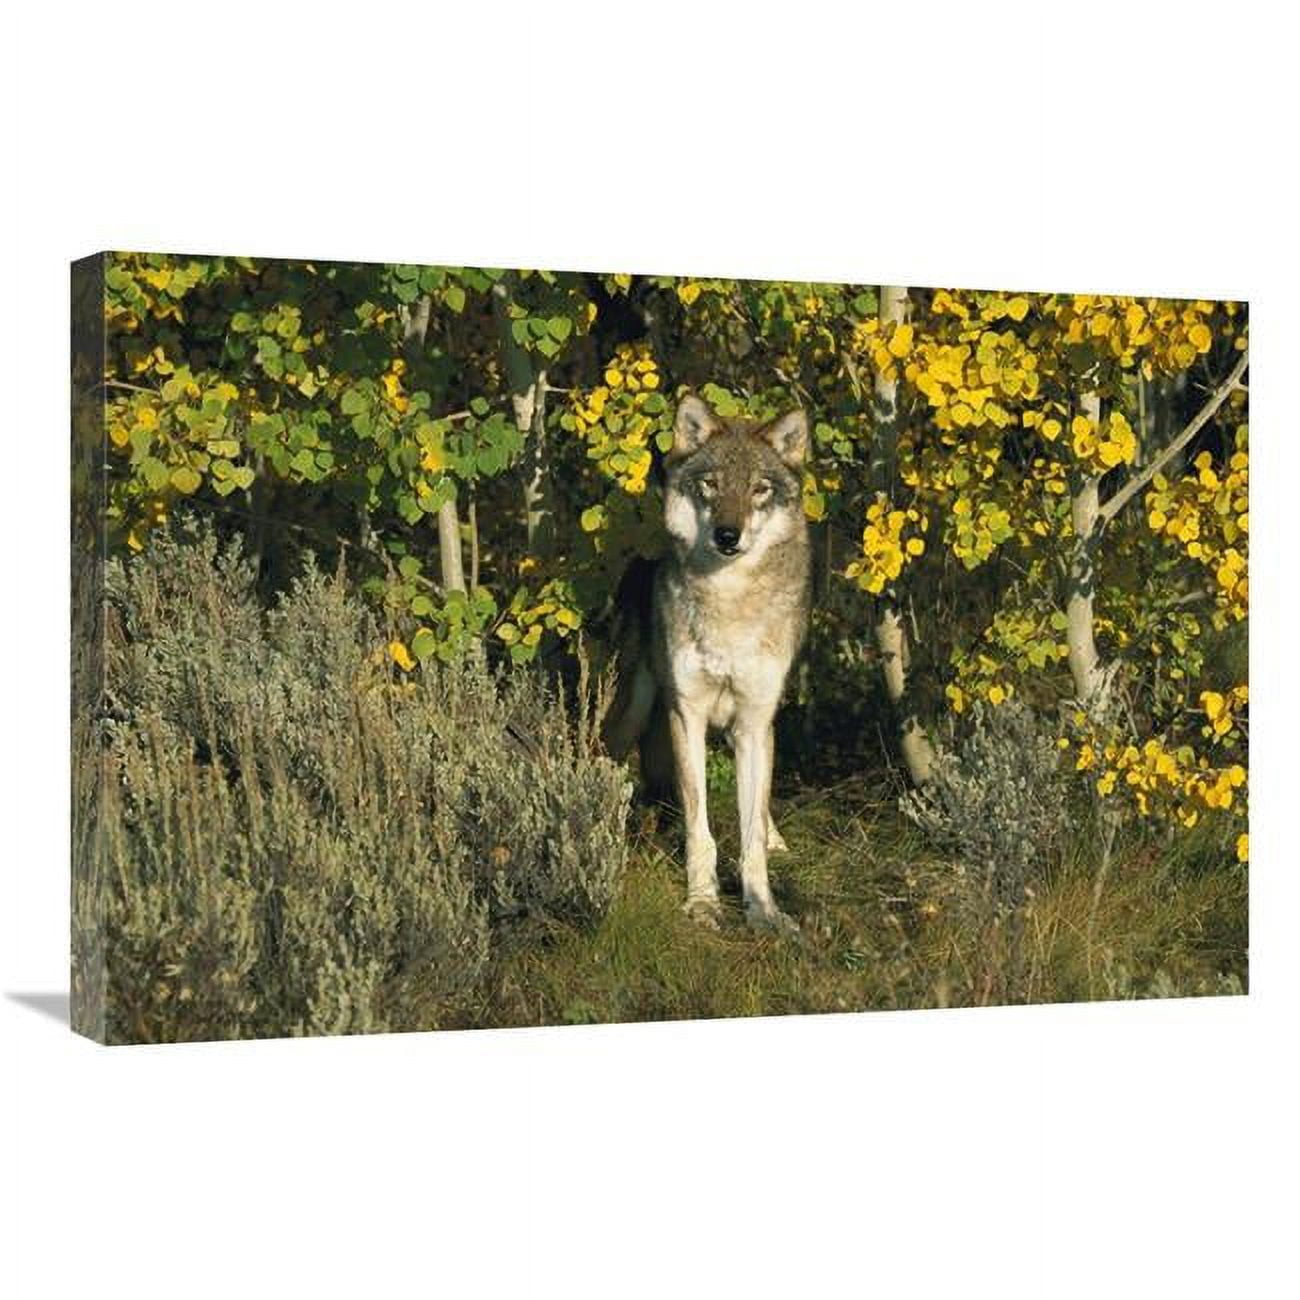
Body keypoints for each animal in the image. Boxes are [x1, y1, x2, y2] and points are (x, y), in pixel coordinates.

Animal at [603, 393, 811, 934]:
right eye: (711, 485)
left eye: (759, 489)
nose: (727, 535)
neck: (729, 604)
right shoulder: (688, 715)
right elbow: (701, 830)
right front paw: (703, 903)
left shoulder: (755, 722)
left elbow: (750, 833)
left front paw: (763, 909)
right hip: (632, 710)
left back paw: (777, 839)